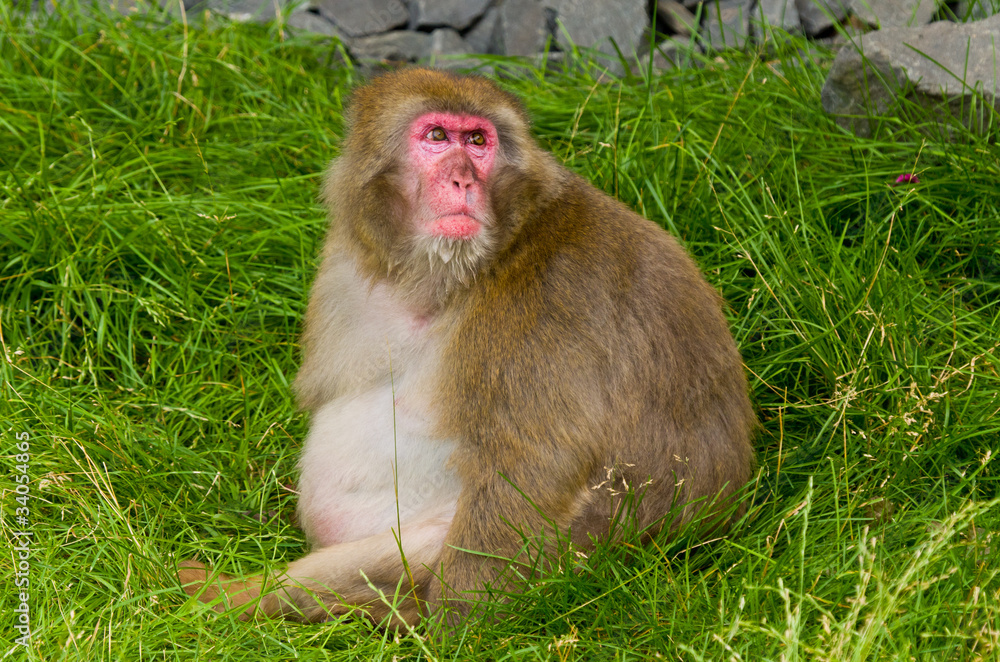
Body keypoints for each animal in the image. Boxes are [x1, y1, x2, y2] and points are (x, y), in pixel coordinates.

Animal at [178, 68, 755, 629]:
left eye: (478, 141)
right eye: (437, 136)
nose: (464, 179)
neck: (463, 273)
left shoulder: (549, 297)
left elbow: (534, 462)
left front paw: (457, 631)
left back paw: (226, 599)